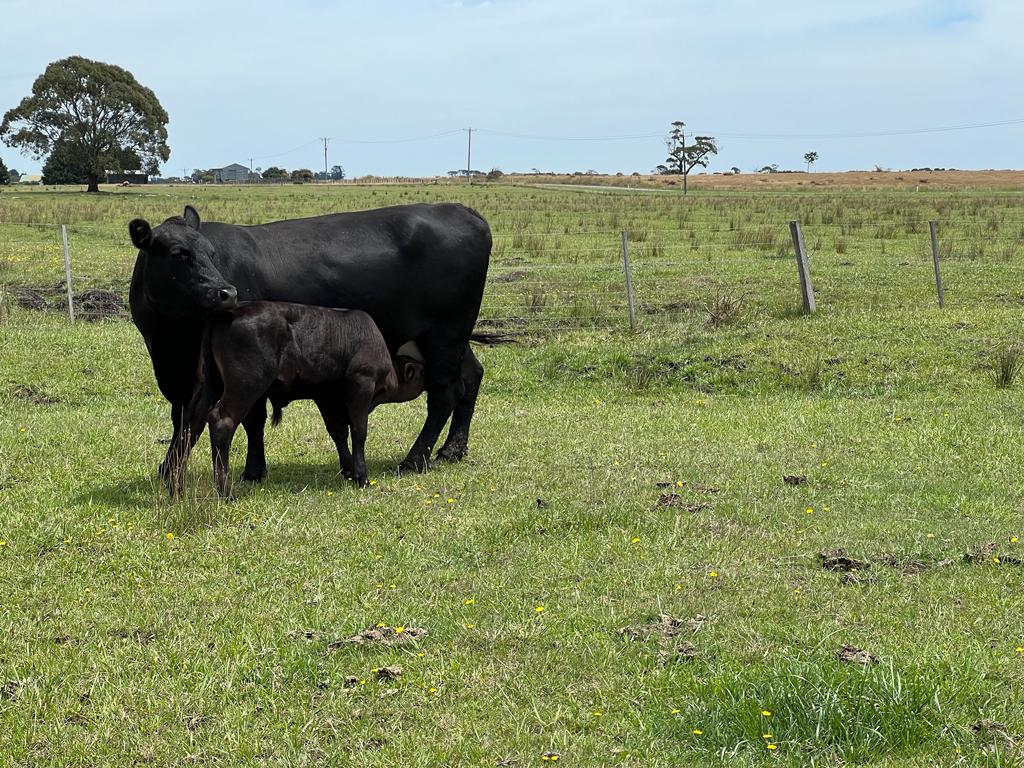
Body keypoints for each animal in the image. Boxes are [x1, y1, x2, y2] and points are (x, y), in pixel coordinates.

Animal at [167, 302, 426, 497]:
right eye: (421, 373)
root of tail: (230, 312)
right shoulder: (361, 385)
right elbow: (359, 431)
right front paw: (361, 475)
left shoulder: (325, 395)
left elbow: (338, 432)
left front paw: (348, 469)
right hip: (245, 385)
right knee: (222, 422)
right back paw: (225, 492)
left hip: (209, 385)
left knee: (191, 424)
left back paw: (176, 488)